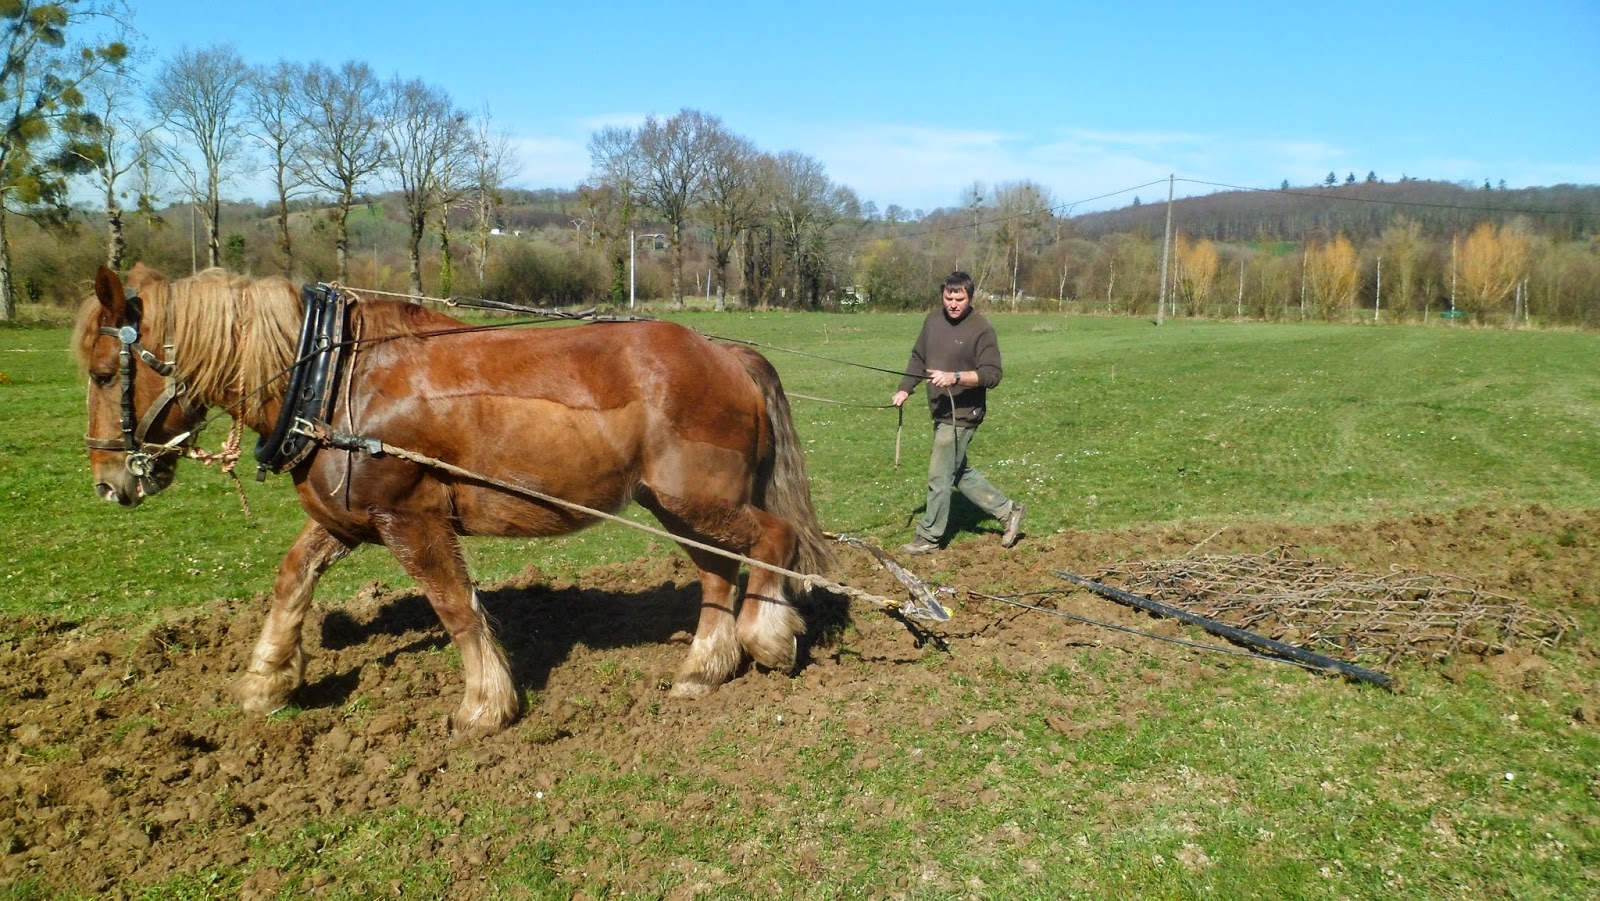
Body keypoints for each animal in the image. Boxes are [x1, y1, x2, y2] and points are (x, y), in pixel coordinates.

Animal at [75, 263, 835, 734]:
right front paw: (267, 681)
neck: (334, 378)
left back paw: (767, 637)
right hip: (676, 504)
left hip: (695, 498)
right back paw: (704, 668)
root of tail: (725, 353)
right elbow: (292, 579)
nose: (110, 484)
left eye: (105, 371)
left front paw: (485, 705)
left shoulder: (410, 518)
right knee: (718, 573)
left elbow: (453, 606)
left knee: (773, 542)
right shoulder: (347, 519)